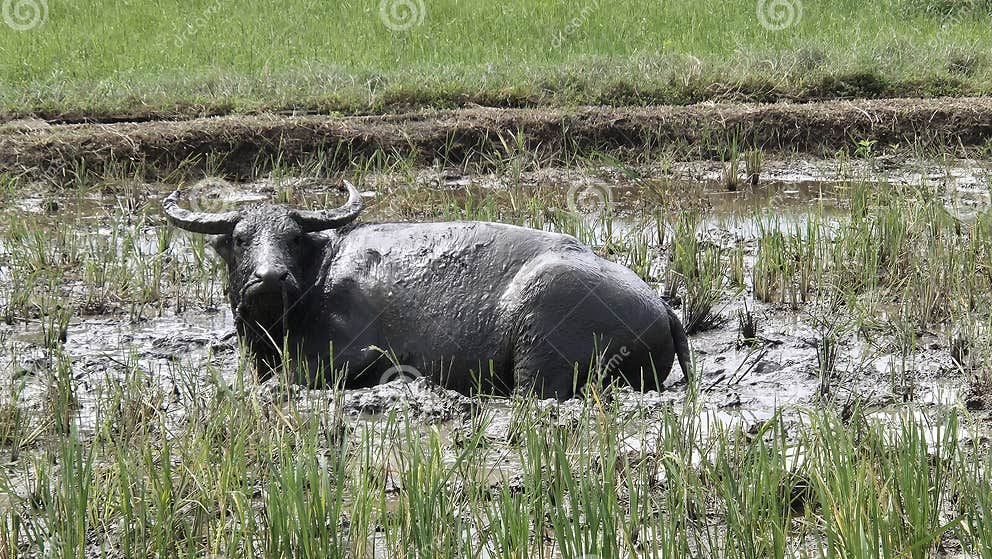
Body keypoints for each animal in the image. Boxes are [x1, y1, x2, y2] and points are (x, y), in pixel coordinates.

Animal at [163, 181, 691, 399]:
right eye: (239, 238)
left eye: (293, 237)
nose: (271, 277)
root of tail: (663, 307)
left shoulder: (348, 354)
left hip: (540, 343)